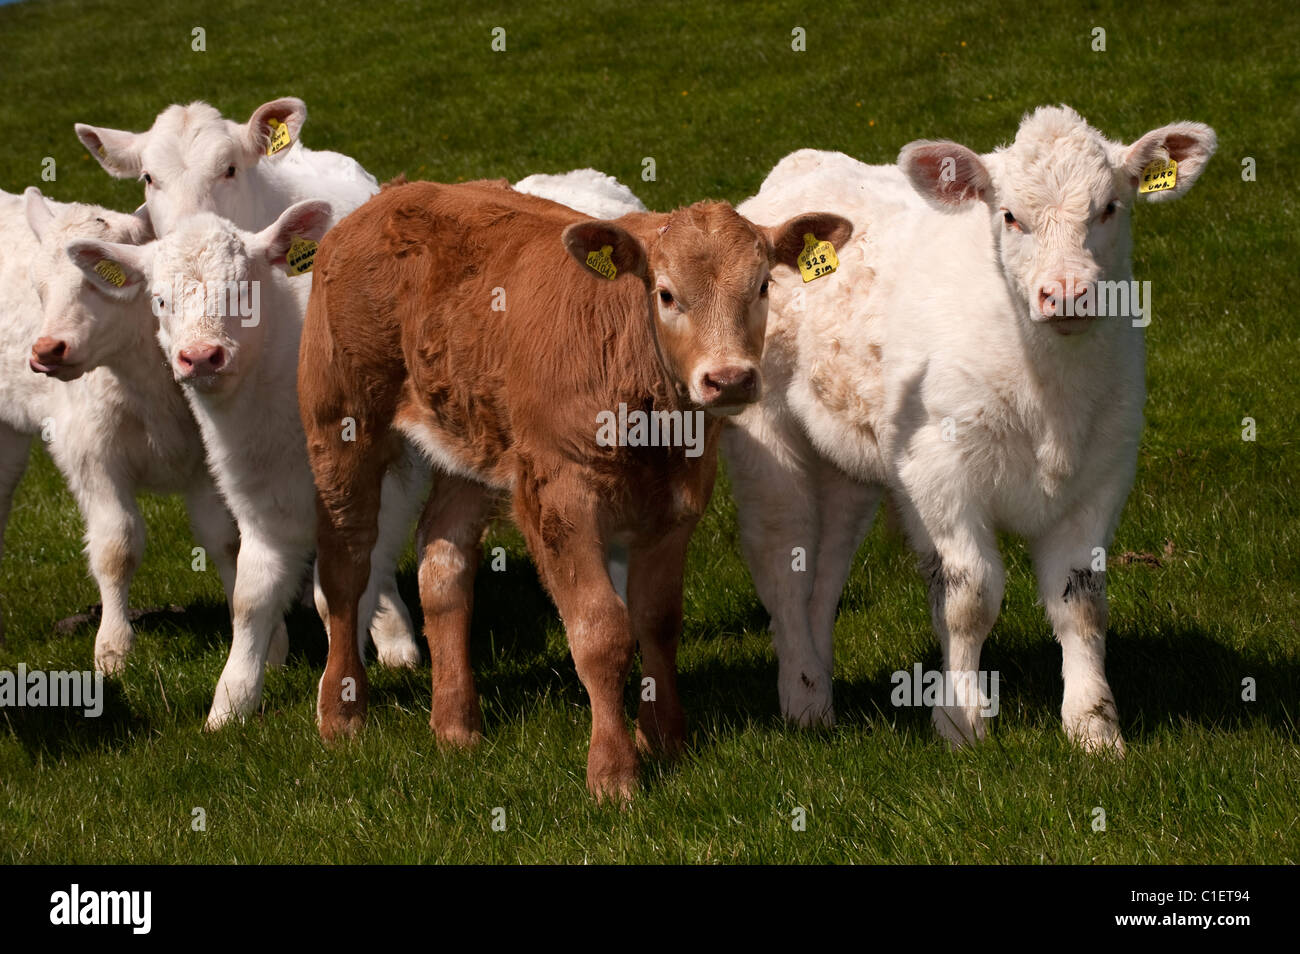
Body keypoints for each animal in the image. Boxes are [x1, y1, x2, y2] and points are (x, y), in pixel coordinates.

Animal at [297, 178, 847, 800]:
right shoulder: (560, 500)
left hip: (468, 442)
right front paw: (613, 771)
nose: (729, 379)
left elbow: (658, 620)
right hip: (340, 423)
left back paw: (456, 725)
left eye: (761, 286)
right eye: (666, 294)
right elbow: (601, 631)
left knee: (443, 562)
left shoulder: (677, 506)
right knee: (344, 566)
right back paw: (342, 712)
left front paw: (665, 738)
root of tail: (390, 197)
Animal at [733, 106, 1216, 753]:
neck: (1049, 399)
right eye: (1010, 215)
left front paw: (1093, 727)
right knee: (782, 558)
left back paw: (820, 685)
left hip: (848, 463)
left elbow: (1082, 600)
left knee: (827, 567)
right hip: (765, 435)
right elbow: (970, 596)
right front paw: (961, 721)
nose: (1066, 294)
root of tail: (801, 166)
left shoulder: (1102, 475)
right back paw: (803, 698)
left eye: (1110, 207)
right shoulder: (939, 473)